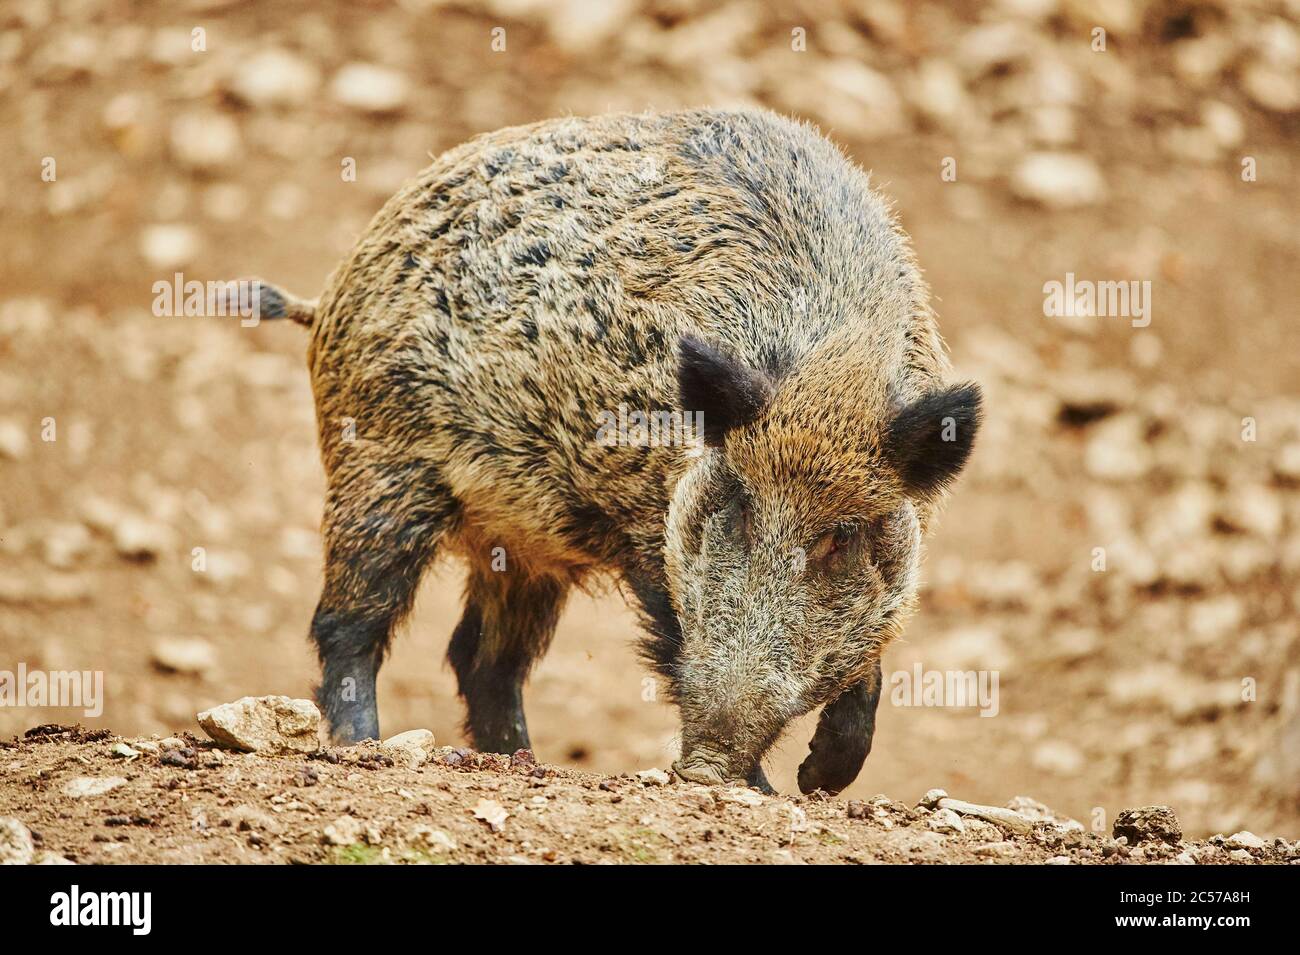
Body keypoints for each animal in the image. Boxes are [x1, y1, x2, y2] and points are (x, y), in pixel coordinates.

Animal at [252, 109, 981, 794]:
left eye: (844, 534)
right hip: (379, 466)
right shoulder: (641, 518)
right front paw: (770, 787)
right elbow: (676, 638)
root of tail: (334, 290)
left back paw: (520, 760)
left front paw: (818, 781)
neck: (832, 369)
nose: (705, 765)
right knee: (350, 624)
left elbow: (869, 663)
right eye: (740, 504)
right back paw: (364, 746)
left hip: (520, 544)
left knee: (480, 658)